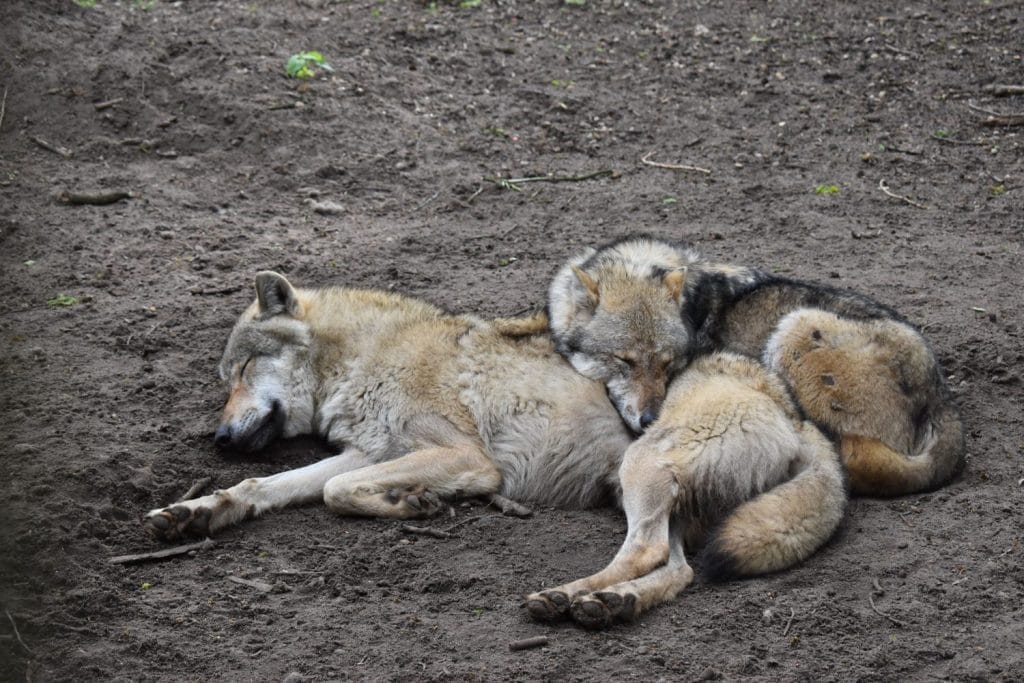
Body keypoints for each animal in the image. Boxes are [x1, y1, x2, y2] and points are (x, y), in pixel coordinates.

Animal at [526, 351, 846, 628]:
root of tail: (798, 424)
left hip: (641, 464)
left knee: (647, 551)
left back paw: (568, 595)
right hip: (677, 506)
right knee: (680, 570)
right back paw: (614, 600)